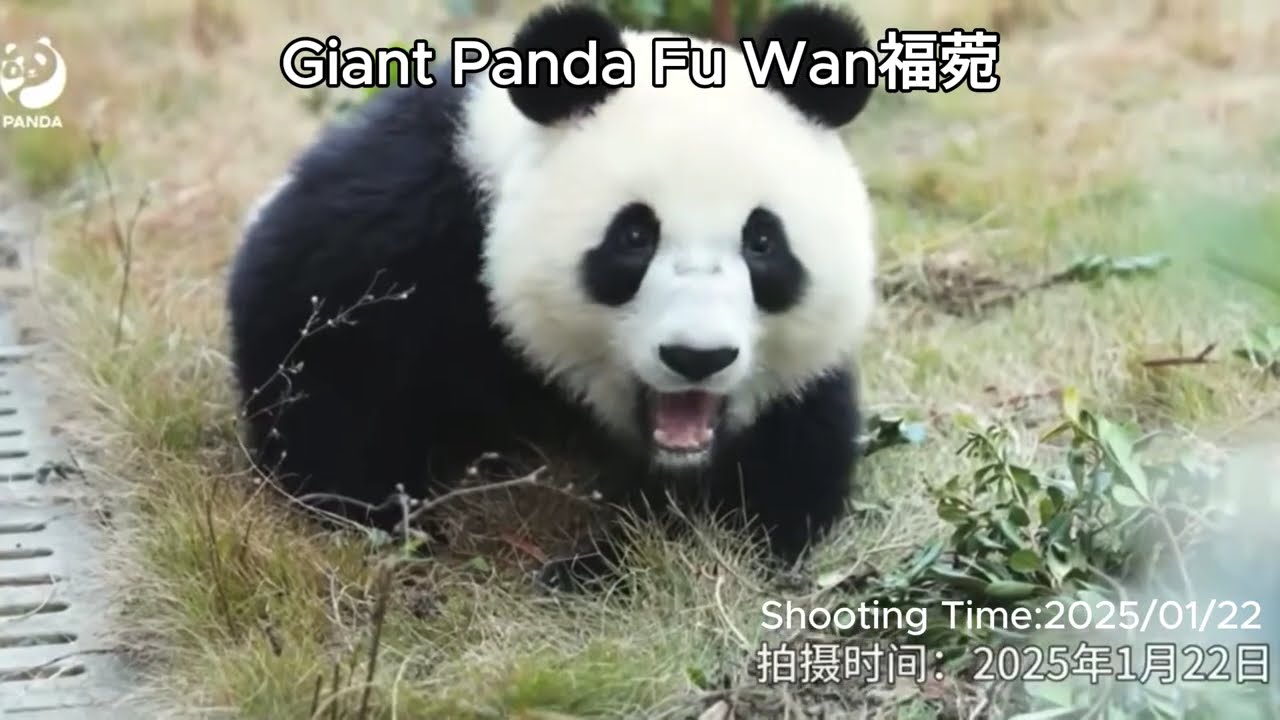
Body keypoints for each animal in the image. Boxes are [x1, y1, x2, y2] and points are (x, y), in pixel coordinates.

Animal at [227, 2, 878, 588]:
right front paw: (396, 520)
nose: (697, 357)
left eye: (762, 241)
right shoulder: (400, 226)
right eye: (634, 236)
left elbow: (775, 480)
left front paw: (605, 563)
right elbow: (323, 368)